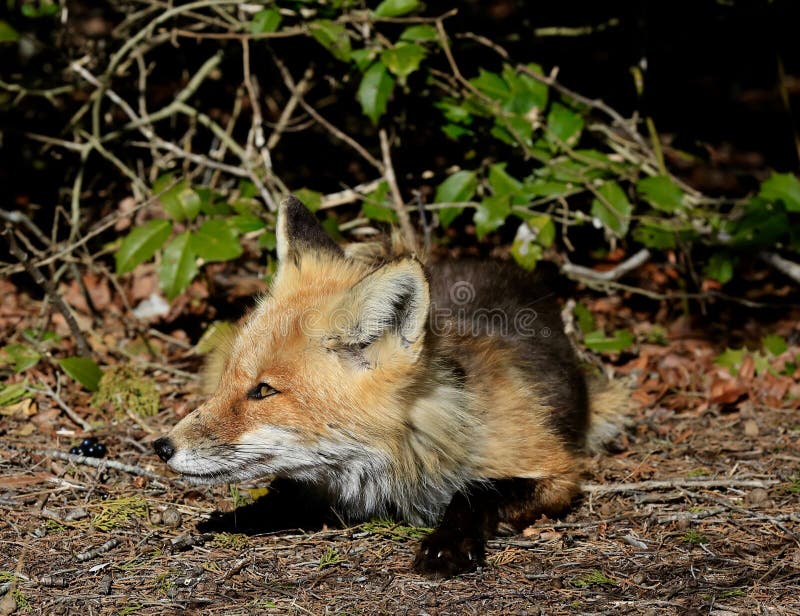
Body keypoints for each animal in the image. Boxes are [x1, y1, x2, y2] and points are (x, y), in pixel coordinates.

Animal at [153, 195, 627, 577]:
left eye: (264, 391)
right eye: (229, 379)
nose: (162, 446)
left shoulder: (556, 470)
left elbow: (476, 491)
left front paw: (447, 544)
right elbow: (281, 491)